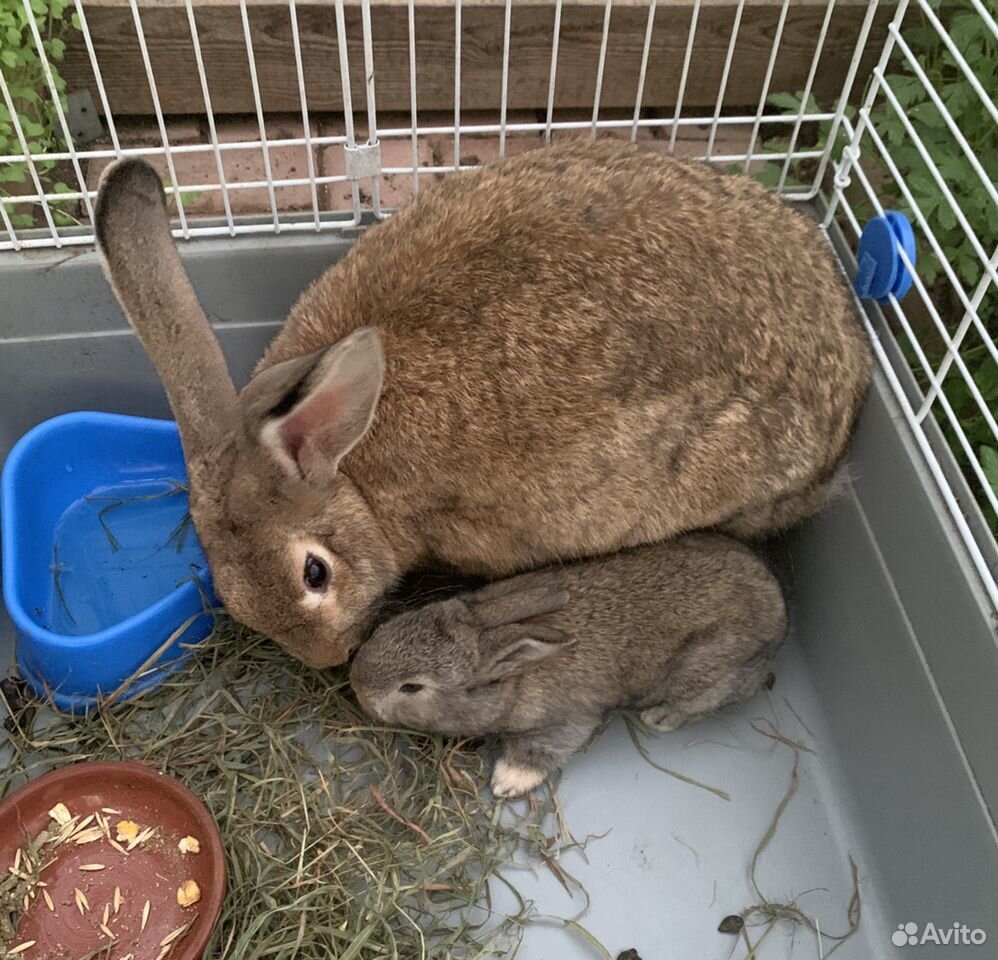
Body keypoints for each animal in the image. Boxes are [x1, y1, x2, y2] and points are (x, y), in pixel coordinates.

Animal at [349, 533, 787, 797]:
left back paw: (660, 717)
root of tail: (780, 615)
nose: (356, 685)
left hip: (703, 672)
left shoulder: (566, 720)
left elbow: (542, 748)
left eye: (412, 687)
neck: (513, 678)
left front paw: (507, 782)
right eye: (388, 626)